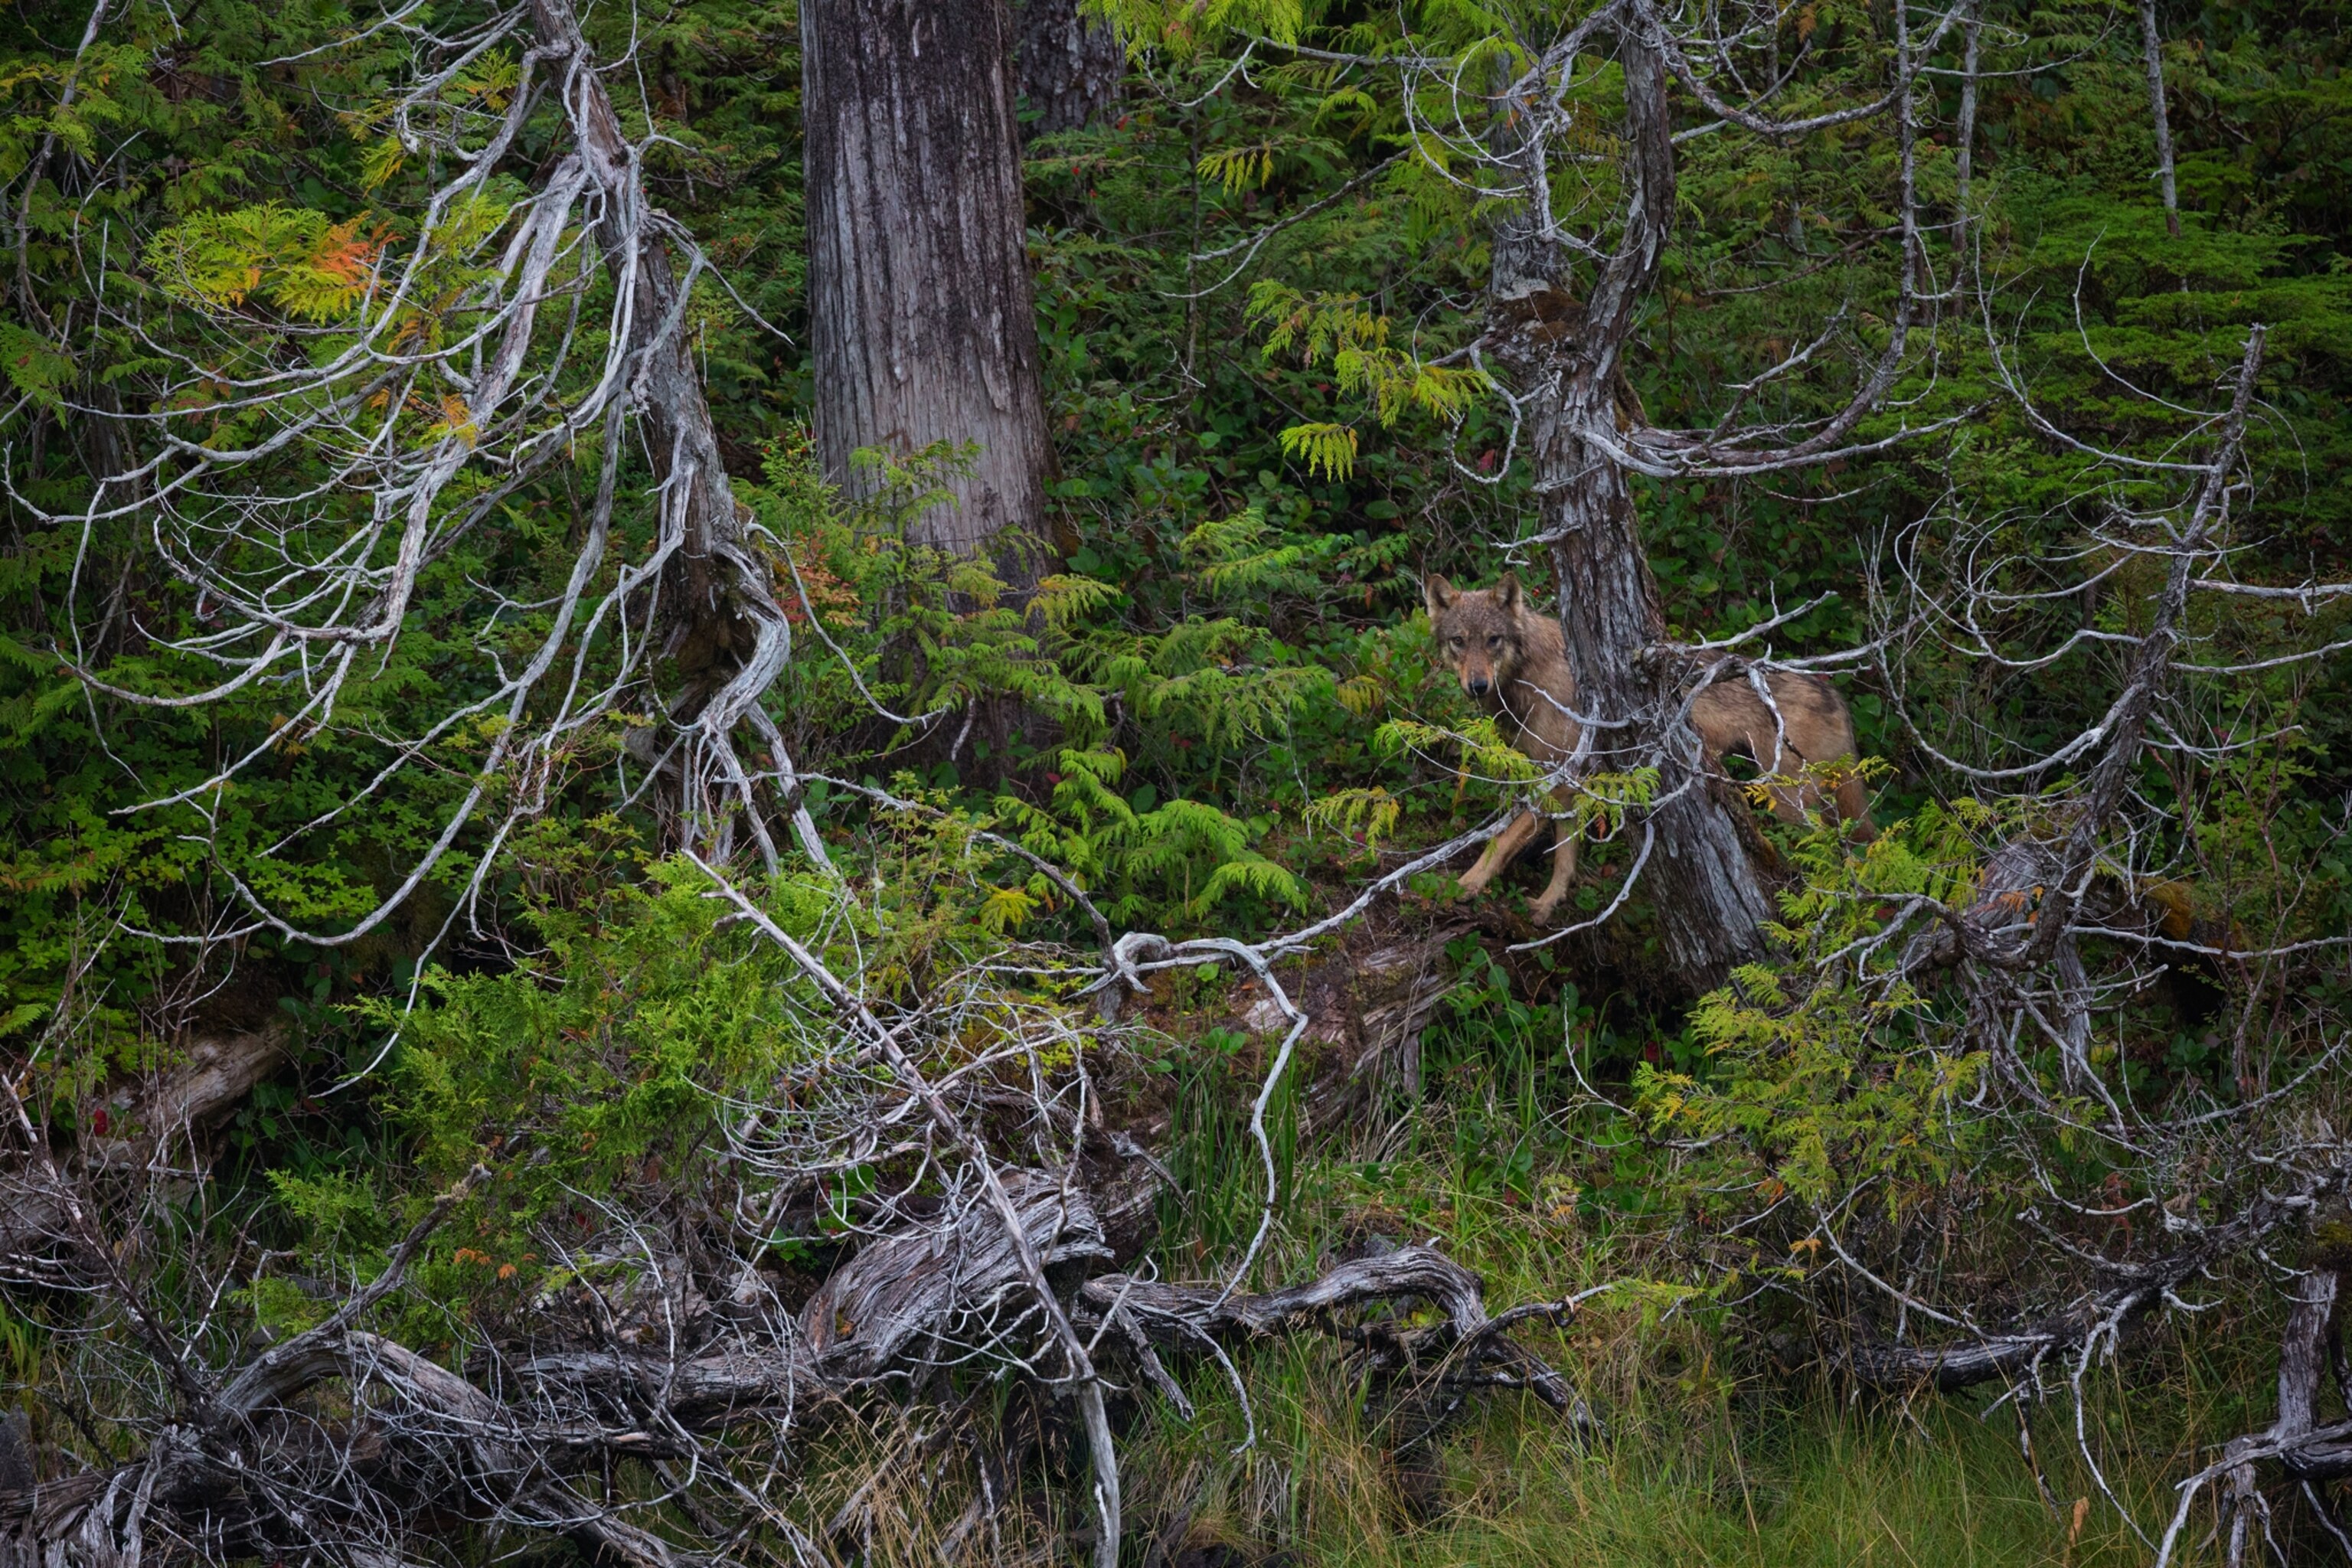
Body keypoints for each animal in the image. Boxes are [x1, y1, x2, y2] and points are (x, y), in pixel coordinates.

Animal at [1423, 571, 1875, 921]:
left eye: (1493, 640)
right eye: (1459, 641)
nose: (1477, 685)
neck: (1528, 677)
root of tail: (1835, 696)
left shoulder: (1559, 777)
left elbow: (1500, 841)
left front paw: (1465, 885)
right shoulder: (1566, 782)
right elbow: (1565, 856)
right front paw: (1549, 904)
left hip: (1787, 806)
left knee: (1834, 853)